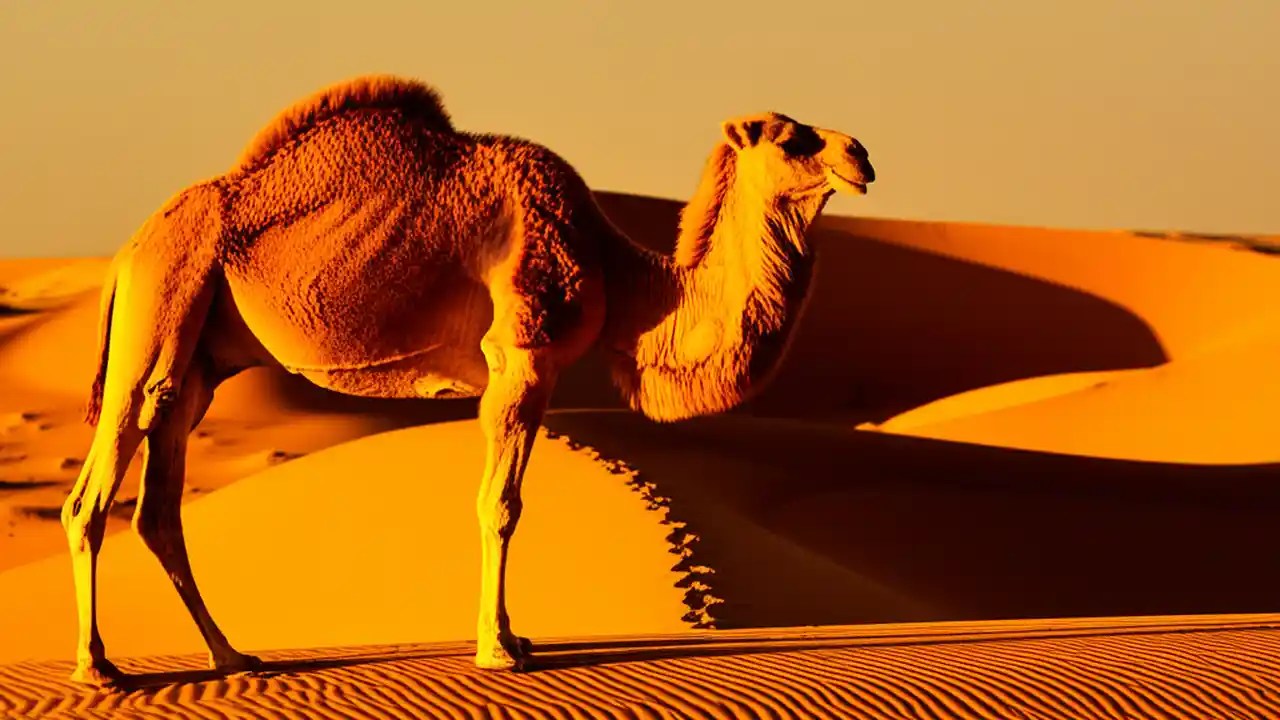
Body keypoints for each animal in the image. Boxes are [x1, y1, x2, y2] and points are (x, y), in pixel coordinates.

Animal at [60, 74, 875, 686]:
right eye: (791, 137)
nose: (861, 152)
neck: (616, 271)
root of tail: (127, 250)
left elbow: (499, 502)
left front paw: (513, 638)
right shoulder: (524, 354)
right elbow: (500, 505)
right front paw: (500, 649)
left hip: (191, 362)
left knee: (158, 508)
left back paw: (231, 656)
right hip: (159, 311)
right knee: (91, 497)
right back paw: (99, 669)